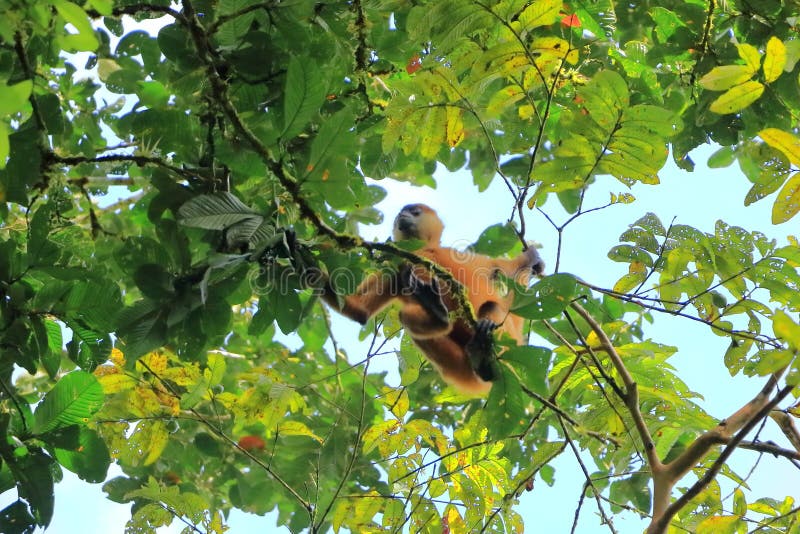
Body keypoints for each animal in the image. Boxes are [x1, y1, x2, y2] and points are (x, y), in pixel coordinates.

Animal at [322, 204, 544, 395]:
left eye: (414, 212)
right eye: (401, 214)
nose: (402, 215)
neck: (424, 250)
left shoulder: (453, 253)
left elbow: (502, 269)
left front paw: (532, 258)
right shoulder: (396, 264)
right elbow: (361, 311)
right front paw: (313, 270)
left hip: (507, 339)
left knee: (494, 306)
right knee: (409, 320)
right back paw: (442, 319)